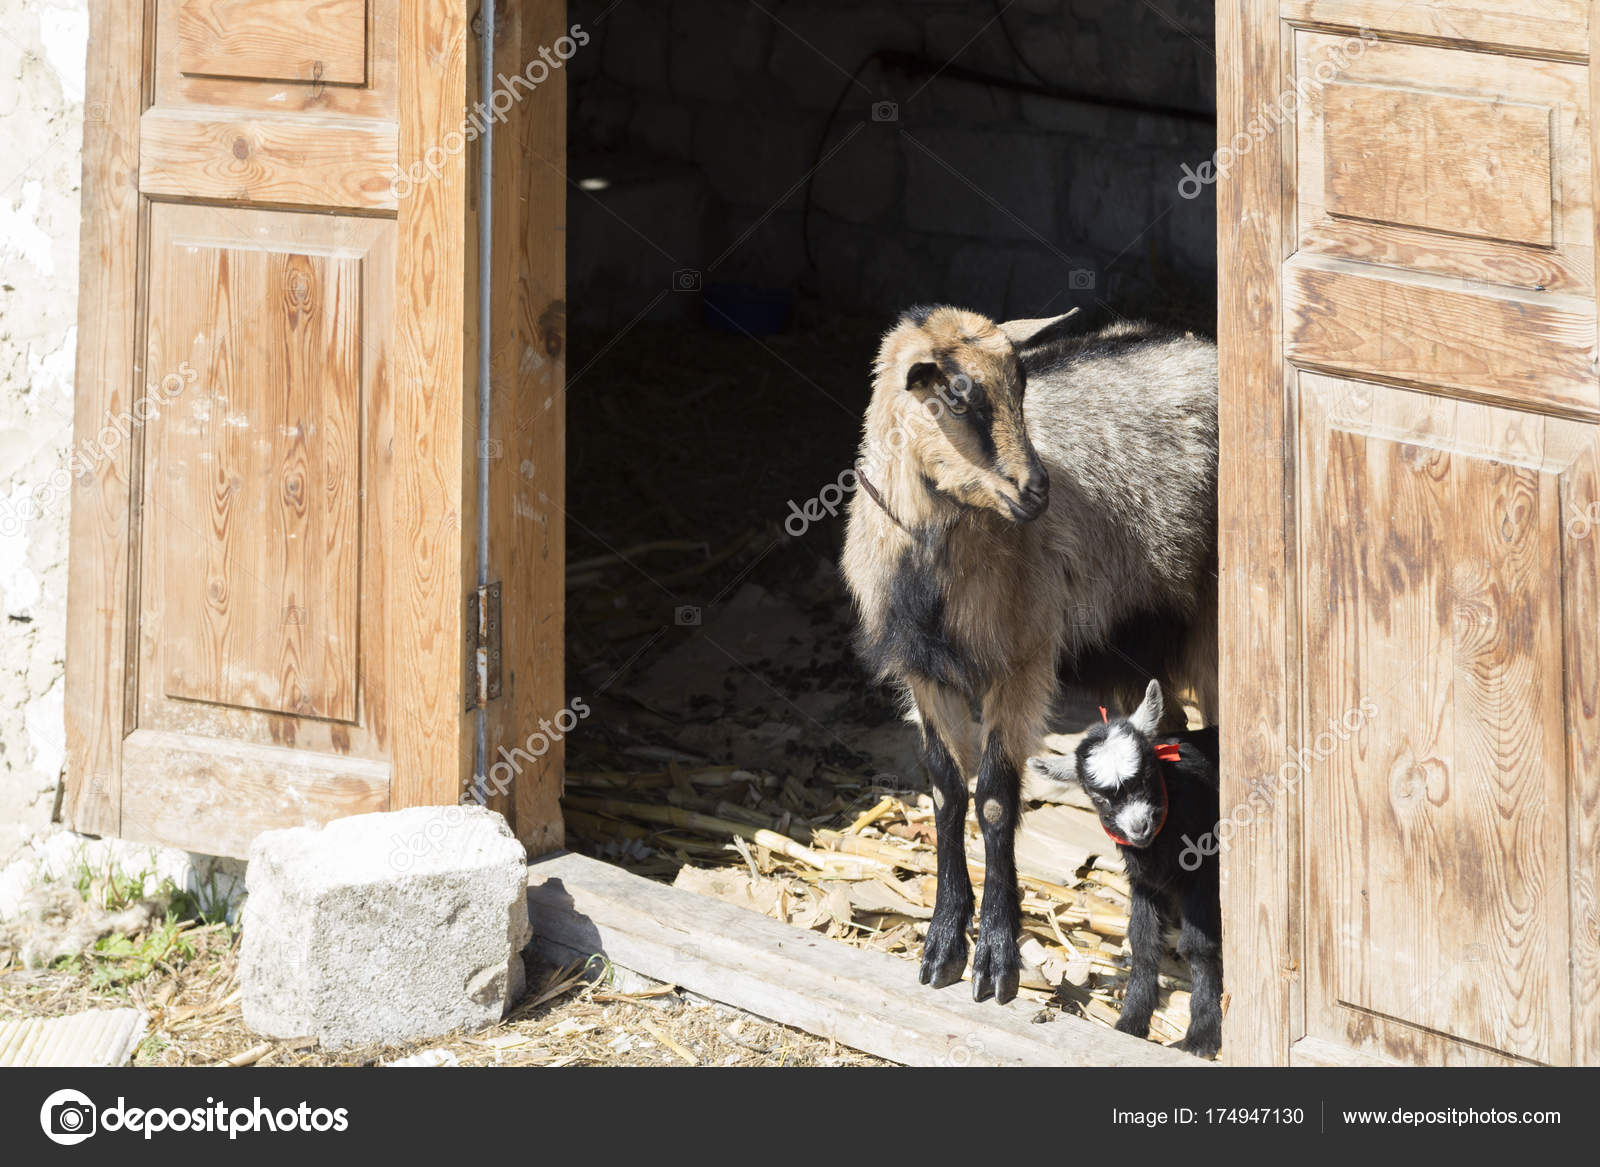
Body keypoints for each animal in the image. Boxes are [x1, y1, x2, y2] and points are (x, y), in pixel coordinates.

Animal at [840, 305, 1216, 1003]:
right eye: (956, 399)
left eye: (1021, 386)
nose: (1036, 491)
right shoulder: (923, 673)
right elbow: (945, 793)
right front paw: (942, 945)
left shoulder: (1019, 664)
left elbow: (992, 798)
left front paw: (995, 957)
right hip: (1131, 641)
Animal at [1027, 680, 1222, 1057]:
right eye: (1098, 798)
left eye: (1147, 775)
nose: (1139, 827)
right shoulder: (1144, 881)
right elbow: (1142, 943)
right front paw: (1131, 1020)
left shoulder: (1204, 871)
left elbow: (1198, 945)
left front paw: (1202, 1034)